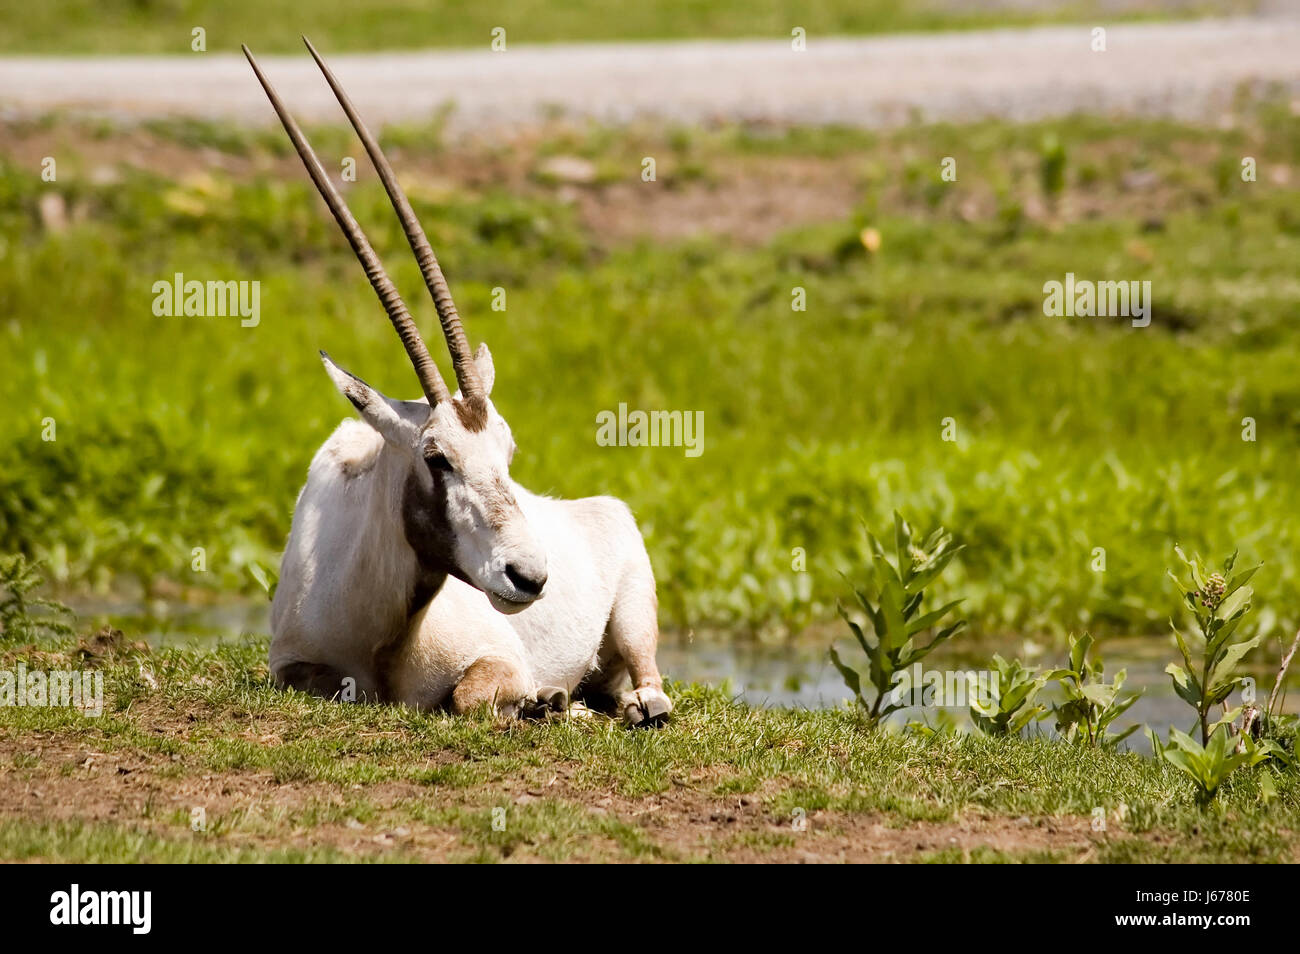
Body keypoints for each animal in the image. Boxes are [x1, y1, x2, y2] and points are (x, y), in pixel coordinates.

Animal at [246, 40, 672, 725]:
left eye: (508, 451)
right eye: (436, 457)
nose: (529, 577)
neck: (380, 628)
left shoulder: (499, 658)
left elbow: (471, 695)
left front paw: (545, 702)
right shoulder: (289, 665)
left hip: (635, 621)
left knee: (647, 687)